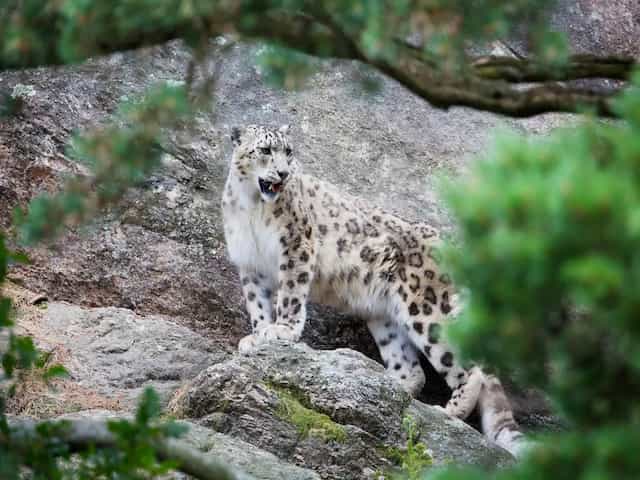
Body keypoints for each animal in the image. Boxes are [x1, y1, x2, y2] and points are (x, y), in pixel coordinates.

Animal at [221, 124, 526, 456]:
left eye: (288, 152)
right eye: (265, 150)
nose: (283, 173)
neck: (251, 206)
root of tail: (453, 249)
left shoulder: (296, 247)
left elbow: (290, 294)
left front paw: (282, 330)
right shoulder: (250, 264)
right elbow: (257, 304)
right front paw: (257, 335)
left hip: (425, 309)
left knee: (469, 368)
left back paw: (447, 411)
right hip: (387, 318)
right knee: (412, 369)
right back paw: (387, 389)